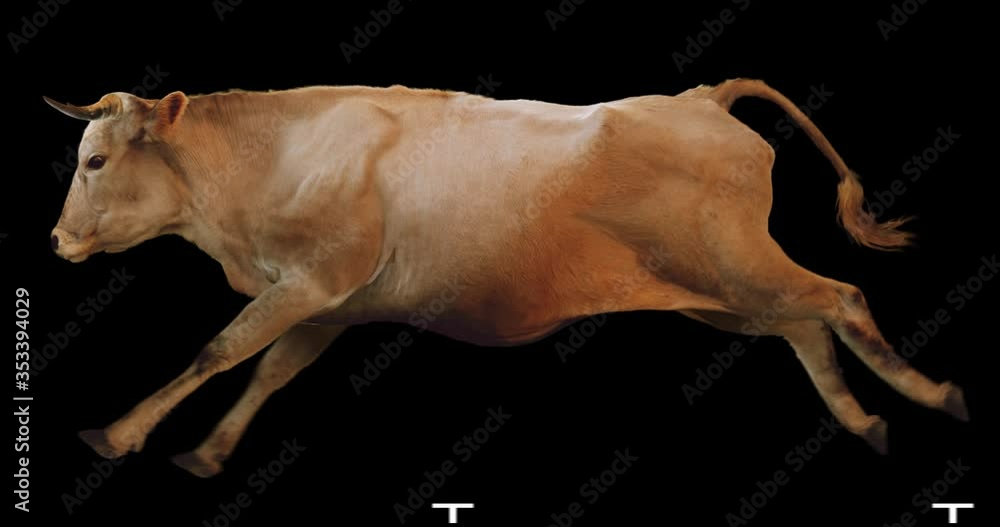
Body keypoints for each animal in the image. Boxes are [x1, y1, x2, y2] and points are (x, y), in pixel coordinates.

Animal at [44, 79, 968, 477]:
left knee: (841, 298)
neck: (274, 156)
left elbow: (220, 350)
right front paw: (209, 450)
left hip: (738, 266)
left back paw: (930, 393)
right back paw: (866, 421)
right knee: (807, 324)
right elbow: (271, 369)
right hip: (723, 293)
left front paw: (119, 432)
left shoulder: (309, 282)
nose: (56, 240)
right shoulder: (328, 303)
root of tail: (701, 97)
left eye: (94, 161)